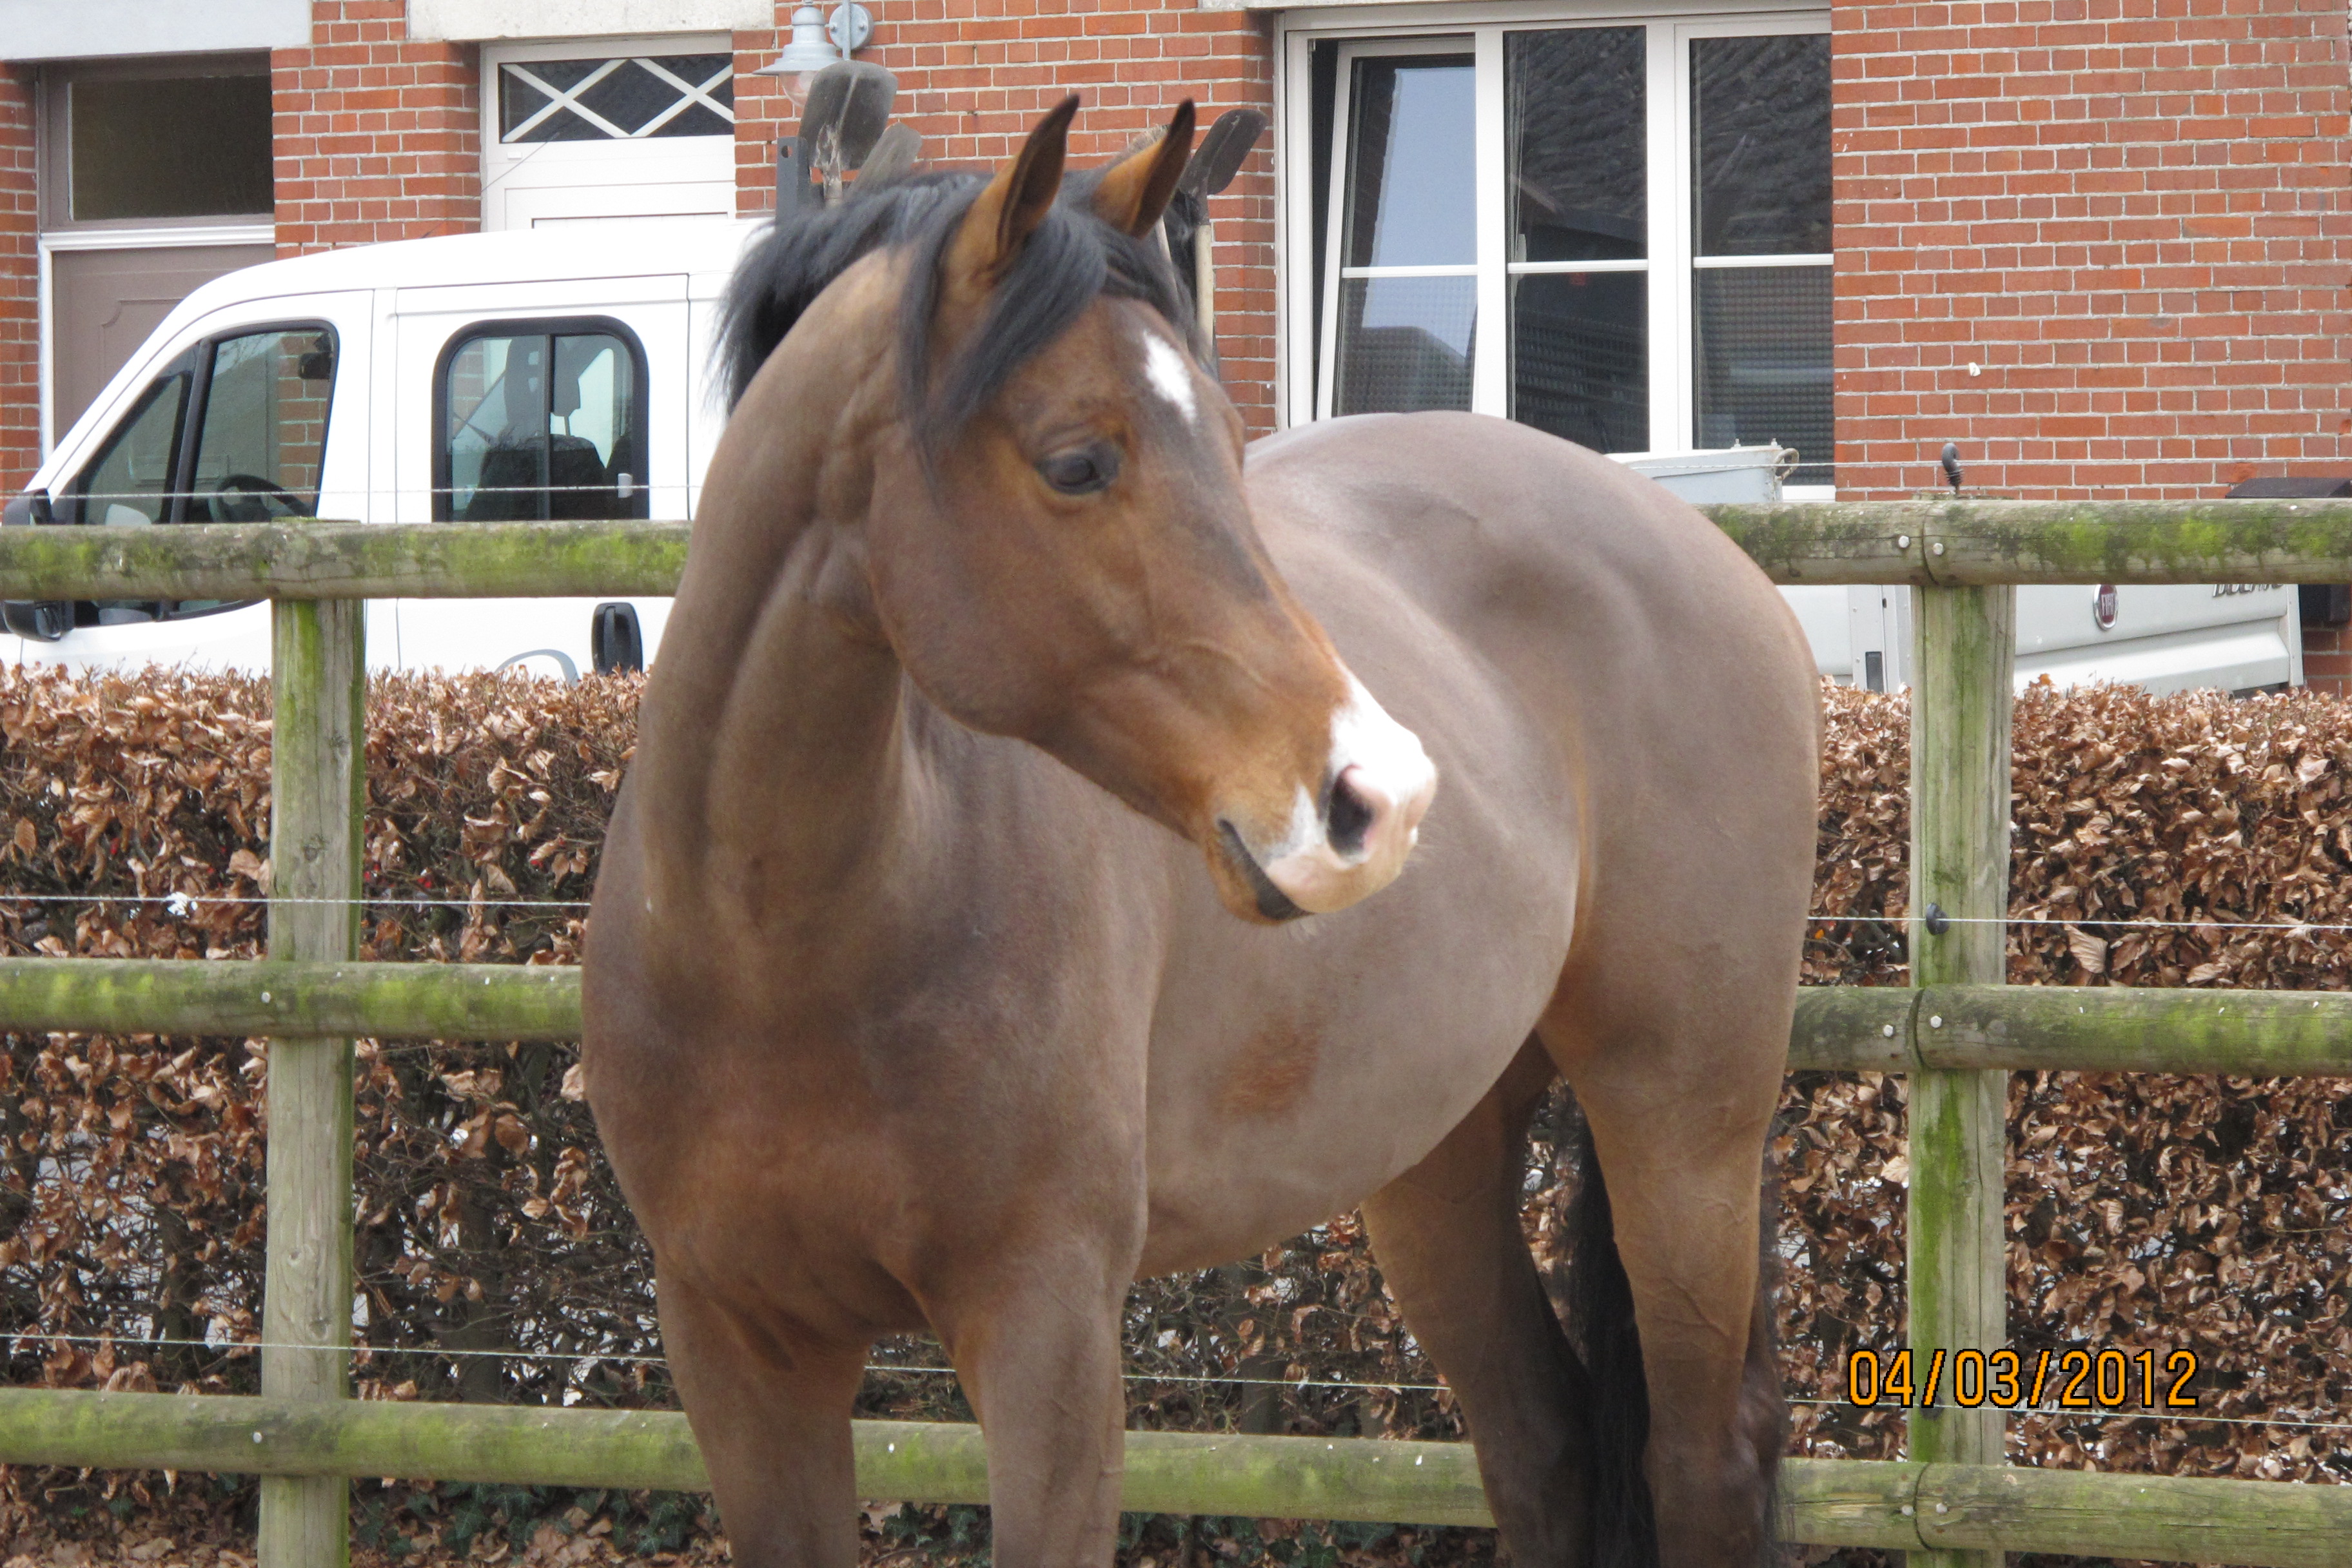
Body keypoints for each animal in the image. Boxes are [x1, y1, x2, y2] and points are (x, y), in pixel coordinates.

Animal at [581, 95, 1818, 1568]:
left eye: (1230, 444)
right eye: (1077, 462)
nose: (1373, 795)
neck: (779, 940)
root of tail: (1702, 542)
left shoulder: (1047, 1337)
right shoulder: (737, 1348)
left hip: (1681, 1127)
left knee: (1696, 1463)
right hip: (1436, 1155)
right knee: (1544, 1449)